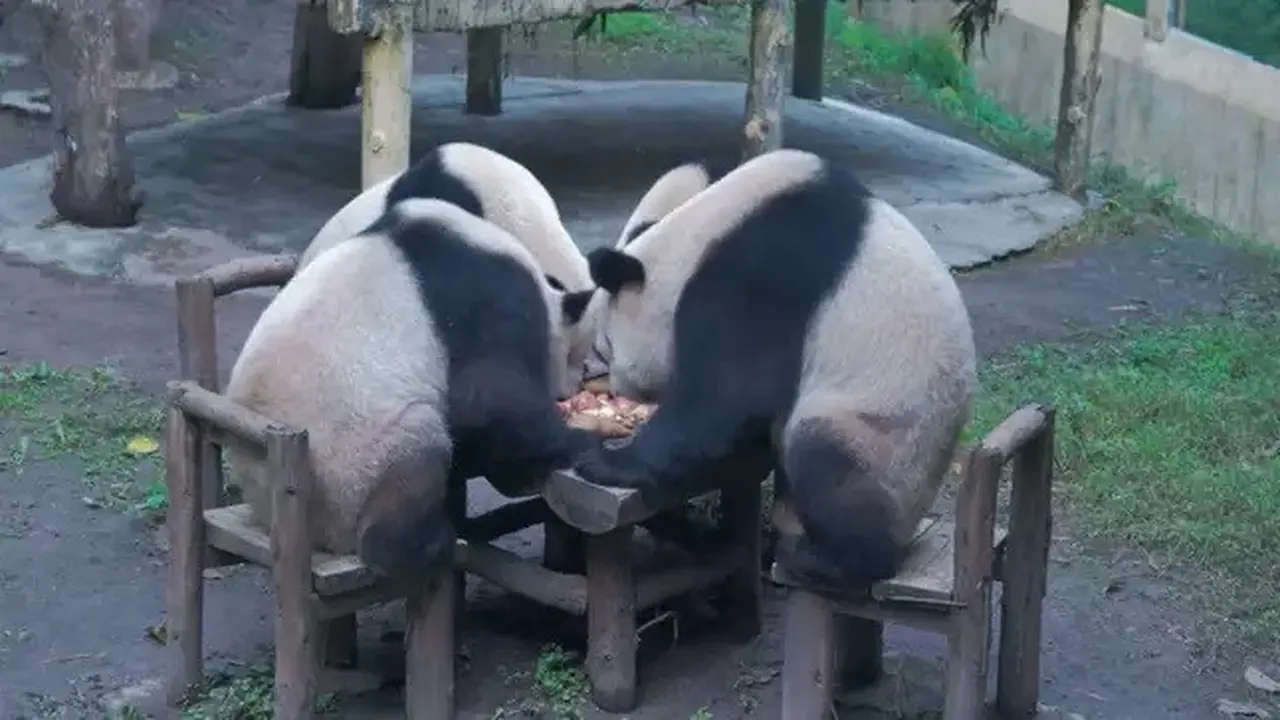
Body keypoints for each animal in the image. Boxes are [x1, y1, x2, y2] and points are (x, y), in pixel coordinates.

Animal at [225, 198, 597, 581]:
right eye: (578, 358)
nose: (571, 389)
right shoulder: (486, 299)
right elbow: (489, 400)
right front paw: (582, 446)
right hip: (351, 465)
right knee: (416, 442)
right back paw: (424, 543)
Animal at [571, 148, 977, 590]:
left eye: (604, 347)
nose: (602, 383)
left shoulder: (761, 278)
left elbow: (724, 397)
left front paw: (604, 461)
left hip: (884, 437)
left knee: (828, 461)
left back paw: (821, 561)